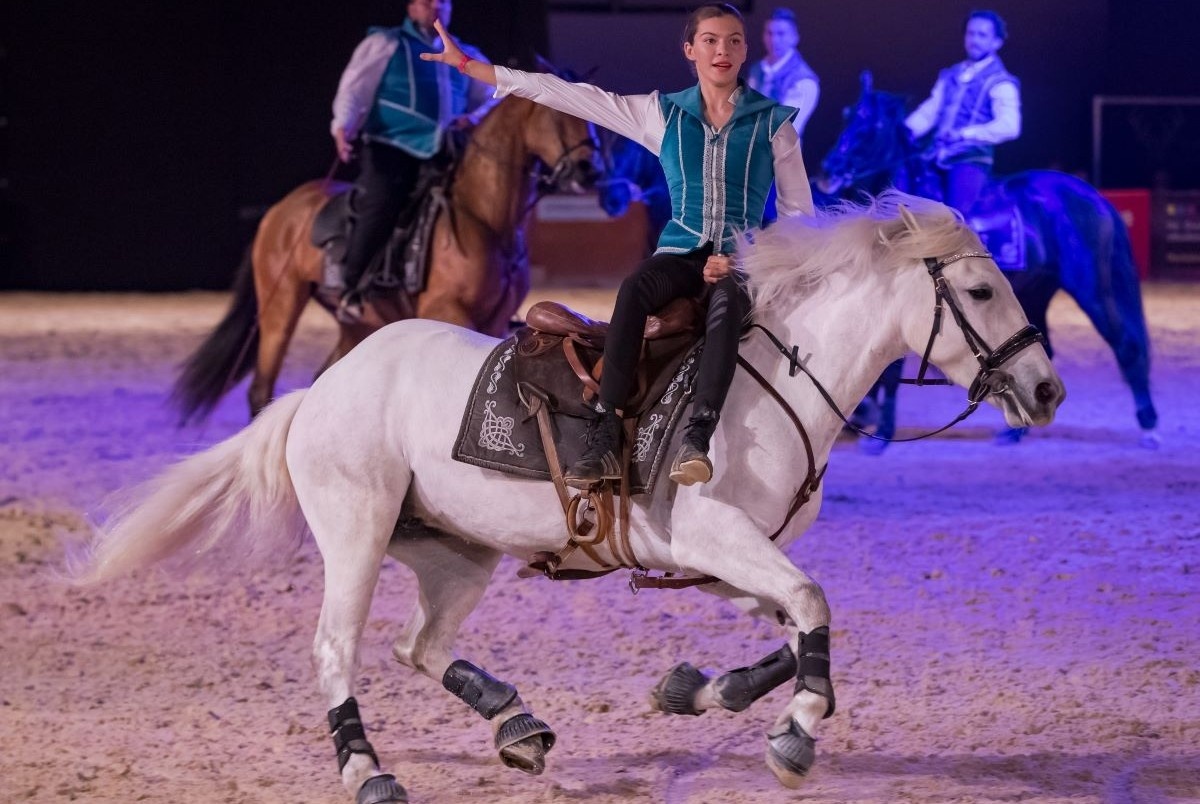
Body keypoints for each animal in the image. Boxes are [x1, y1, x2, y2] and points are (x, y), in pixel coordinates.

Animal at [75, 192, 1064, 803]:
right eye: (981, 288)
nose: (1047, 390)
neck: (770, 383)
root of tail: (322, 389)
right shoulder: (710, 536)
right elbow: (813, 605)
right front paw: (795, 735)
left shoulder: (718, 559)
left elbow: (795, 624)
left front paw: (702, 691)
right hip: (356, 534)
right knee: (337, 648)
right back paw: (369, 771)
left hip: (456, 553)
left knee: (416, 644)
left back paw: (518, 724)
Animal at [171, 94, 602, 424]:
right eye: (559, 113)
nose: (589, 171)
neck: (483, 217)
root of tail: (279, 211)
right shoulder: (449, 311)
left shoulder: (493, 320)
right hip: (280, 306)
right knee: (261, 391)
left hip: (354, 324)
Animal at [821, 73, 1158, 448]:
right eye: (847, 115)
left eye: (869, 125)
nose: (830, 168)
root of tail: (1094, 197)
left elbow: (889, 371)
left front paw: (880, 432)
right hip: (1038, 291)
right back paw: (1014, 432)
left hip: (1094, 290)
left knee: (1127, 346)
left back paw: (1148, 426)